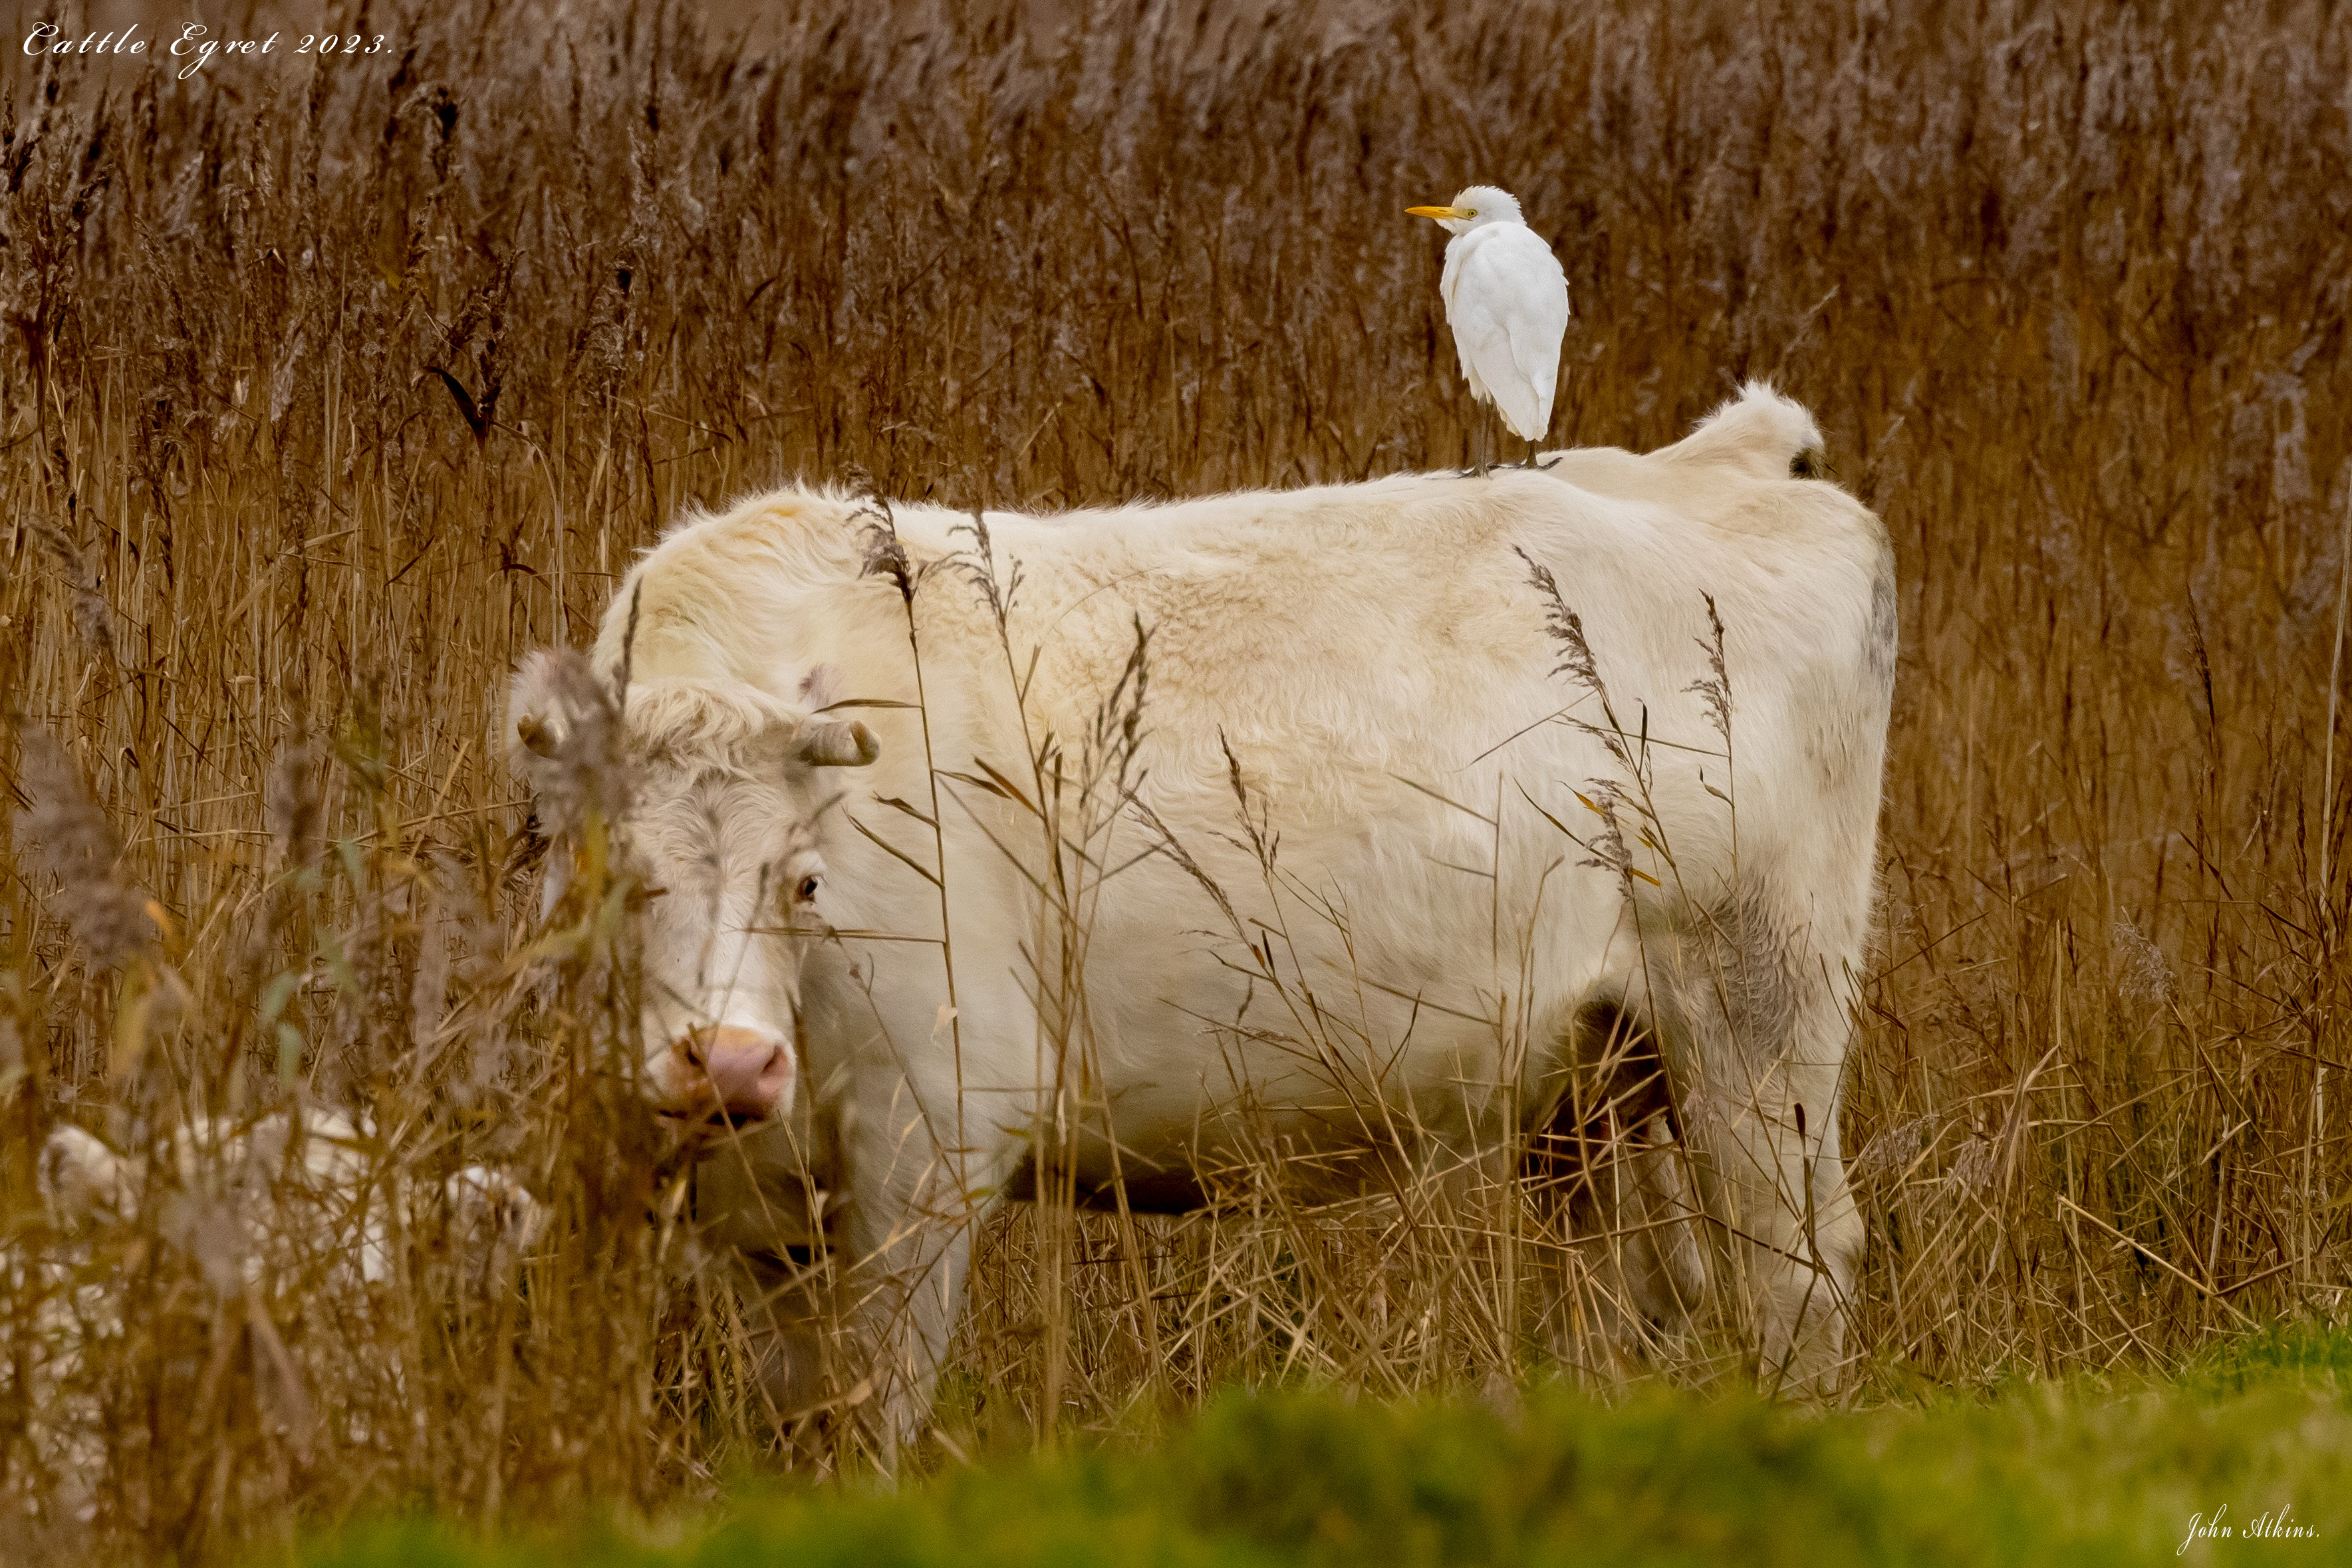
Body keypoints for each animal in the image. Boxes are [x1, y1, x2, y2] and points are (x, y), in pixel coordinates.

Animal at [506, 382, 1895, 1446]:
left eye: (804, 878)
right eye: (610, 875)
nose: (726, 1063)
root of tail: (1713, 463)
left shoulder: (928, 1148)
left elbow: (874, 1419)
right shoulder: (751, 1213)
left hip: (1759, 1024)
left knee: (1795, 1274)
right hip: (1596, 1082)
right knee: (1639, 1292)